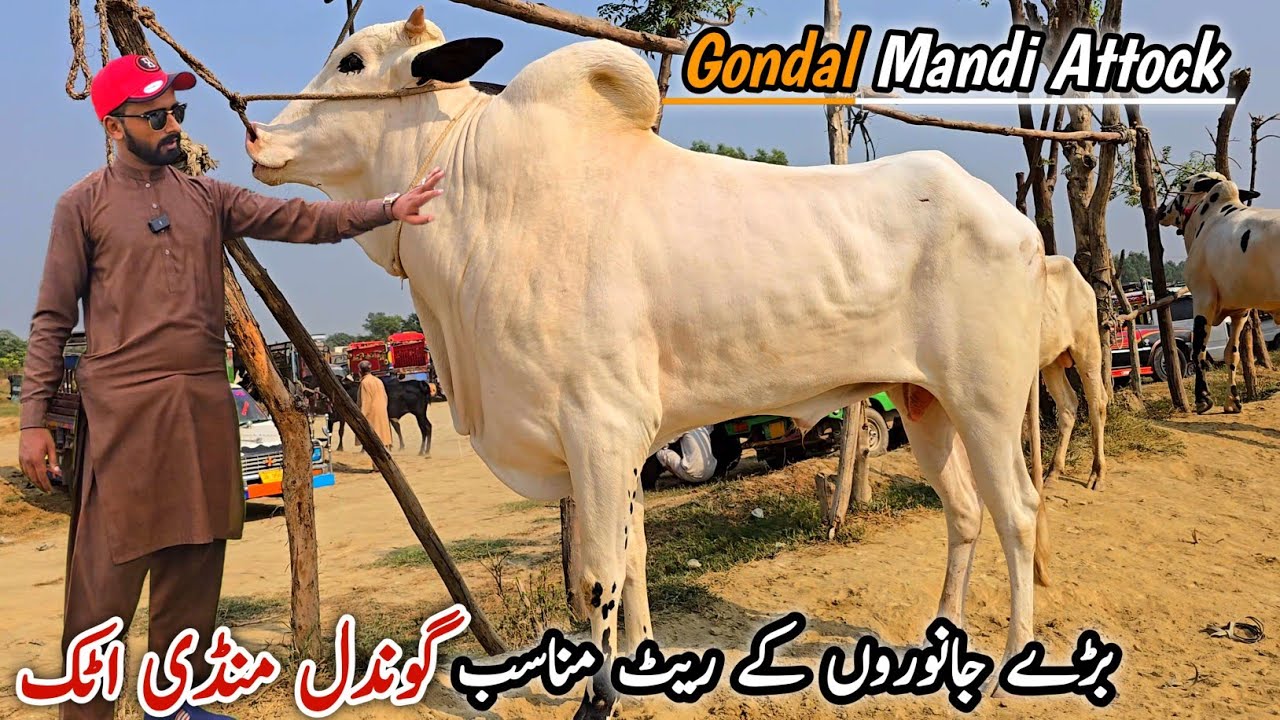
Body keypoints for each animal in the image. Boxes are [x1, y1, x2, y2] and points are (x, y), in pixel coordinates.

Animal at [245, 8, 1050, 716]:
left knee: (1017, 511)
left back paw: (1017, 662)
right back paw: (941, 638)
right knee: (964, 511)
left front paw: (599, 700)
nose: (257, 135)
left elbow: (600, 573)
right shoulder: (619, 445)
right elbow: (633, 563)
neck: (472, 196)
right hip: (926, 403)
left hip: (987, 399)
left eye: (352, 62)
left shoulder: (599, 430)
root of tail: (1013, 219)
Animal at [1038, 256, 1109, 490]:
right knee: (1068, 404)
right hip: (1050, 361)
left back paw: (1097, 474)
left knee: (1097, 403)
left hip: (1087, 346)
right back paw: (1053, 472)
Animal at [1157, 171, 1274, 414]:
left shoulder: (1203, 299)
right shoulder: (1240, 311)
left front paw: (1202, 399)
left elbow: (1199, 349)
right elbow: (1233, 353)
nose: (1161, 210)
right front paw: (1233, 401)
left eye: (1183, 185)